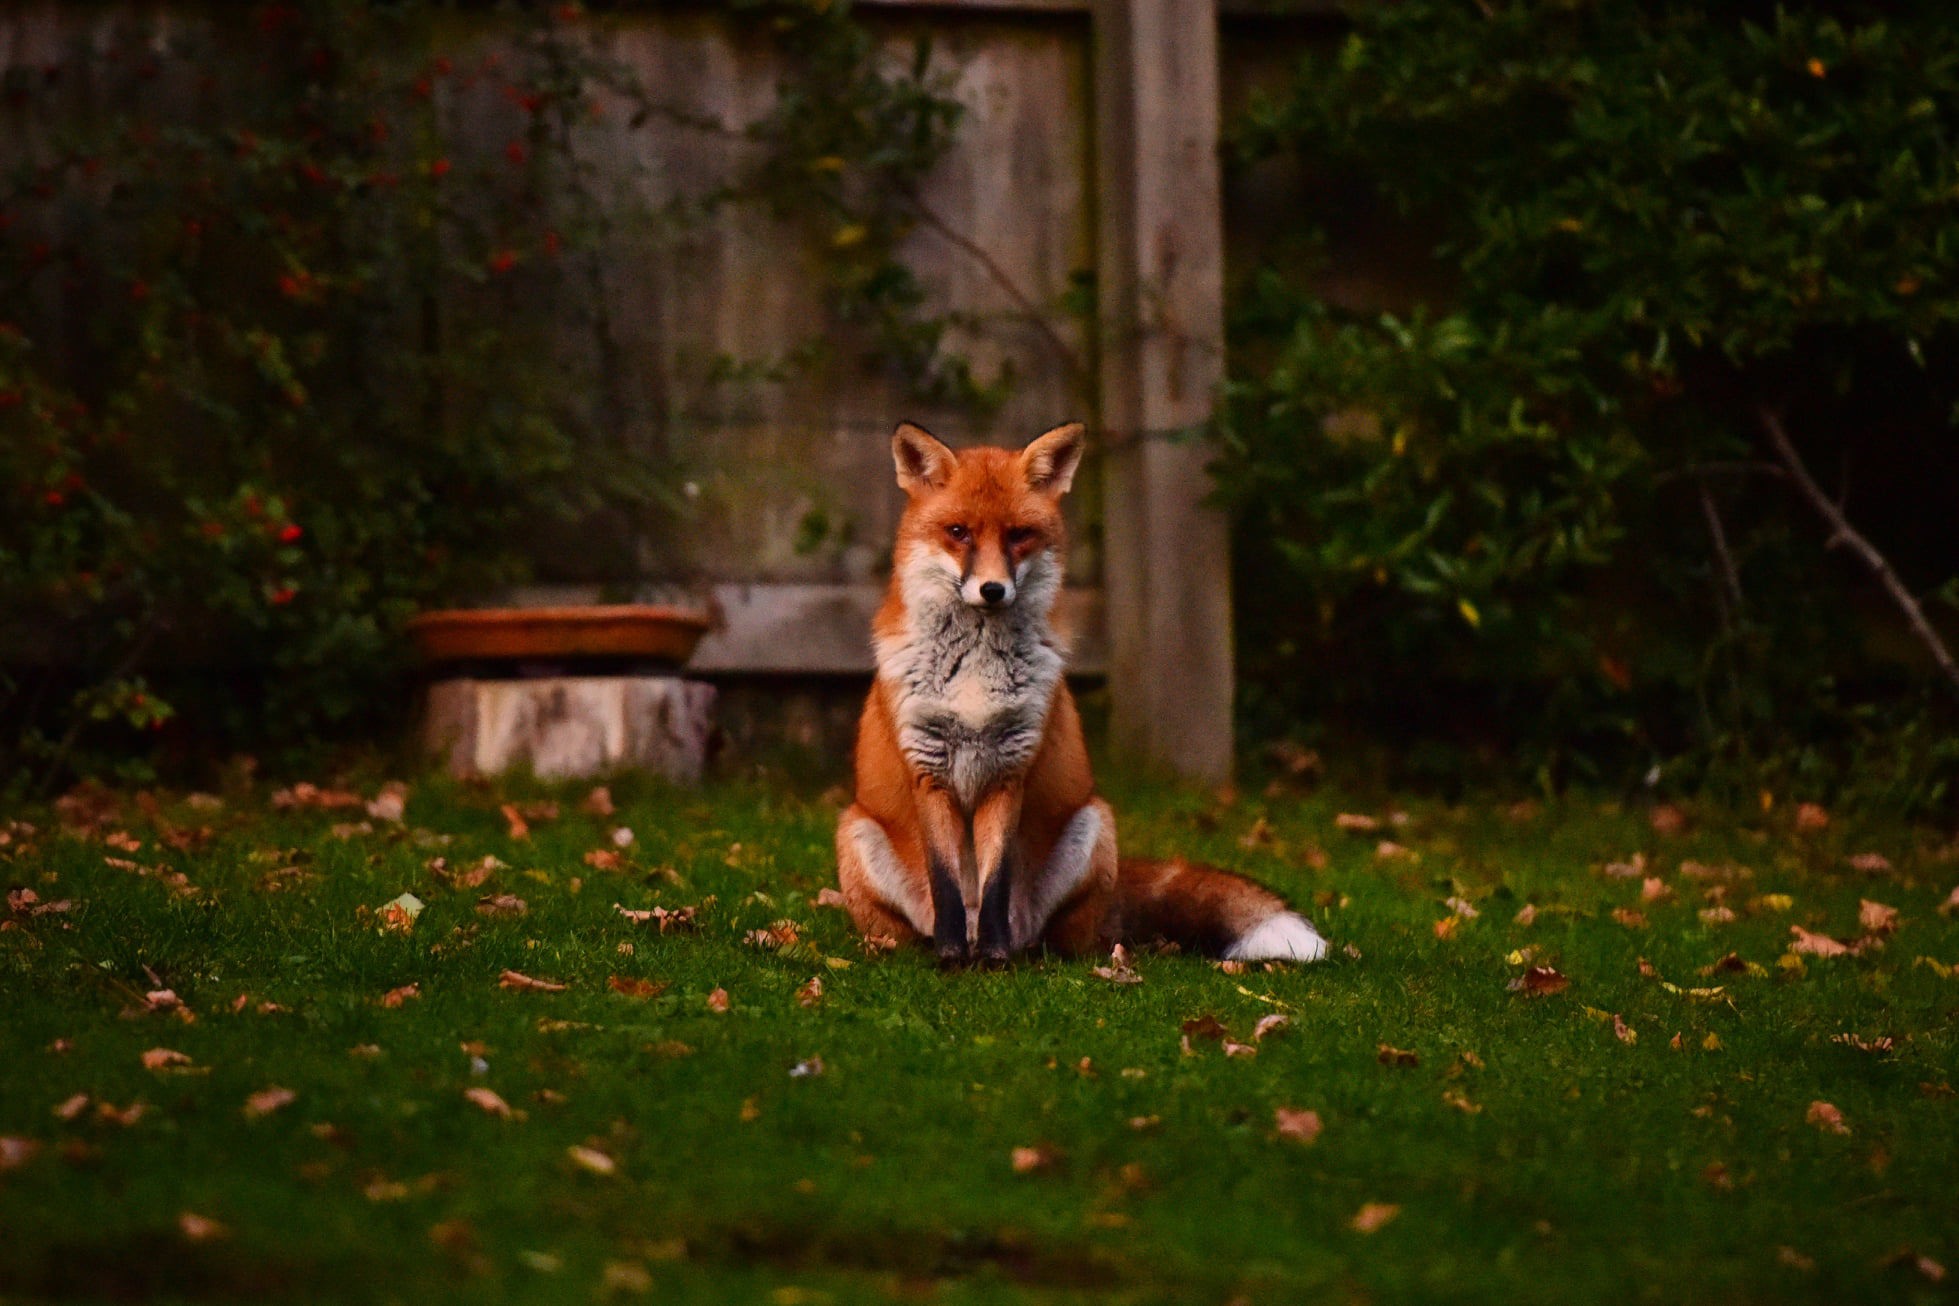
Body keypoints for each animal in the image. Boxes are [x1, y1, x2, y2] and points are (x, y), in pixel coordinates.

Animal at [834, 420, 1329, 968]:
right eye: (958, 532)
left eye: (1019, 535)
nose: (992, 590)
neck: (975, 672)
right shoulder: (928, 768)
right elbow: (946, 883)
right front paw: (950, 959)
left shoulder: (1010, 770)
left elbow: (995, 881)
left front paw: (994, 960)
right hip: (854, 830)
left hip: (1094, 823)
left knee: (1058, 936)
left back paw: (1026, 951)